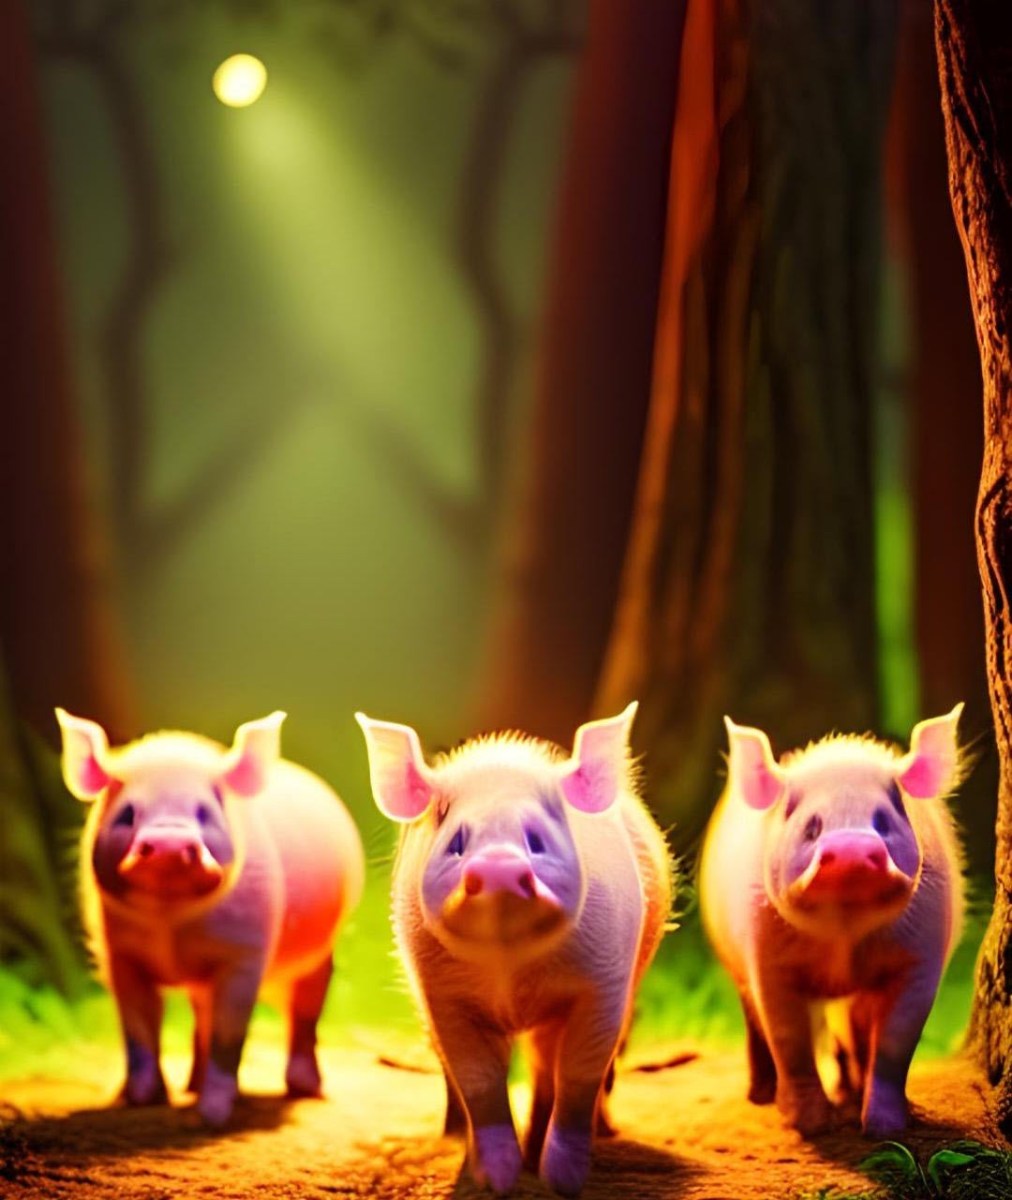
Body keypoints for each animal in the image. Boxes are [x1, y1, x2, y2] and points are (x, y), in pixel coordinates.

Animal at [56, 708, 365, 1127]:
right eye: (127, 814)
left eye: (203, 813)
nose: (169, 841)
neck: (169, 921)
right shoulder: (118, 953)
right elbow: (138, 1032)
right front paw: (140, 1101)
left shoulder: (246, 953)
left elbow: (229, 1036)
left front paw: (214, 1118)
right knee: (200, 1017)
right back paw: (188, 1087)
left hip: (318, 959)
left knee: (304, 1016)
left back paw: (306, 1090)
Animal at [356, 703, 671, 1196]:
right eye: (457, 842)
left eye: (535, 839)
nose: (499, 864)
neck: (508, 968)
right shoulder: (442, 995)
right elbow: (478, 1080)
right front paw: (495, 1180)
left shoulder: (605, 982)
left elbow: (578, 1074)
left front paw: (563, 1182)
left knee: (549, 1070)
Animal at [699, 706, 965, 1139]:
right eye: (812, 827)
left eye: (882, 822)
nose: (851, 846)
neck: (843, 935)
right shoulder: (767, 962)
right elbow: (789, 1039)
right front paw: (809, 1127)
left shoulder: (921, 959)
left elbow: (895, 1042)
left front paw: (883, 1130)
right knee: (757, 1026)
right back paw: (760, 1096)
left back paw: (850, 1093)